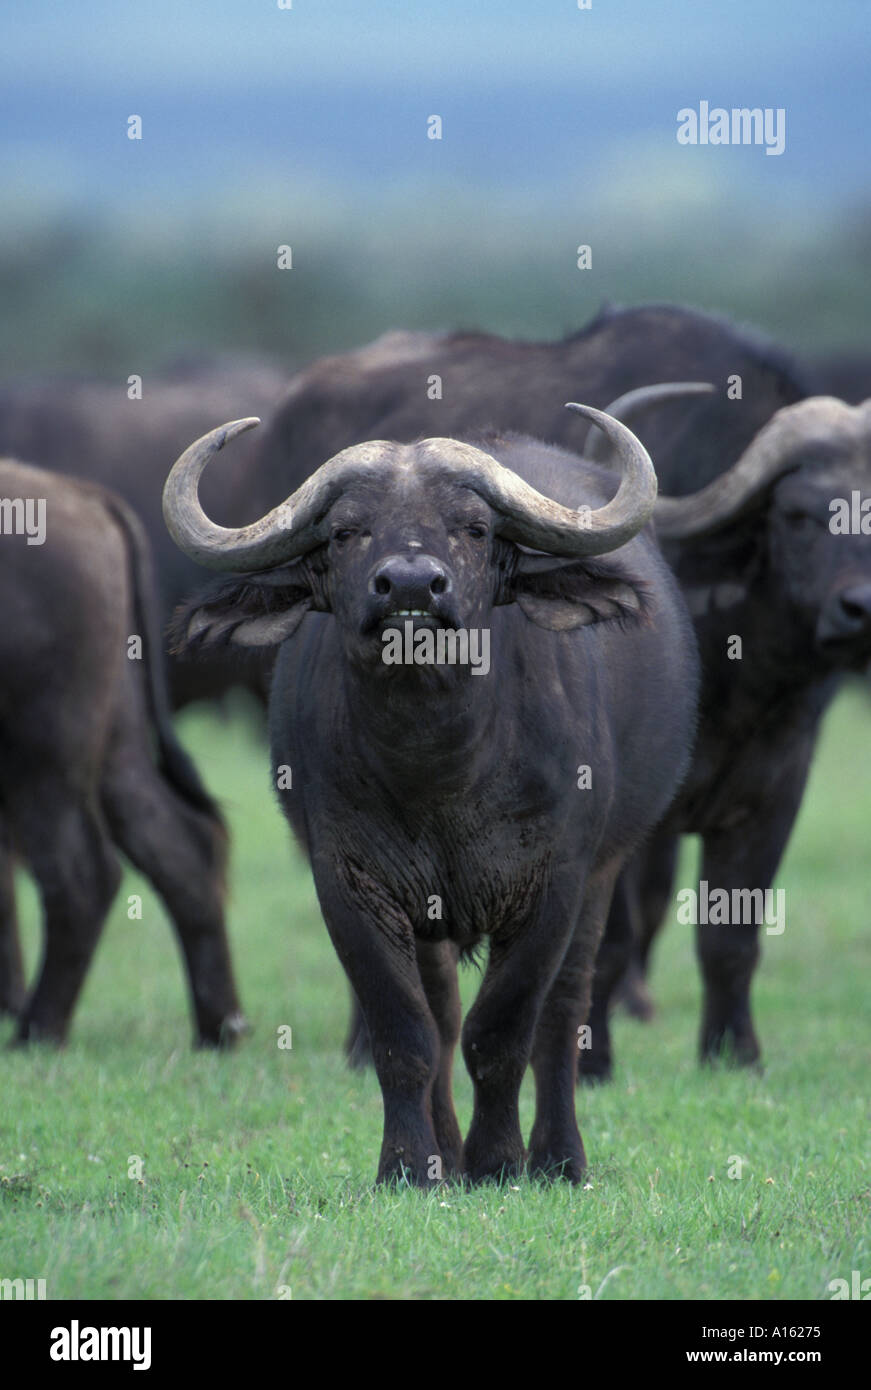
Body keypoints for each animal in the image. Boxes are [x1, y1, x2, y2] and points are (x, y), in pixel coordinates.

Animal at [0, 459, 246, 1044]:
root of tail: (83, 497)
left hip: (43, 757)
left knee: (81, 877)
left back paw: (35, 1031)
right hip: (115, 747)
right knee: (181, 846)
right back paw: (219, 1029)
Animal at [164, 406, 699, 1183]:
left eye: (473, 528)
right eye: (345, 530)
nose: (413, 587)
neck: (438, 769)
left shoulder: (557, 882)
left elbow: (504, 1030)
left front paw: (500, 1160)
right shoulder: (351, 884)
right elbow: (407, 1031)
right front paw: (412, 1165)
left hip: (604, 871)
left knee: (564, 1010)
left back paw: (559, 1157)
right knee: (443, 1016)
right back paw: (448, 1151)